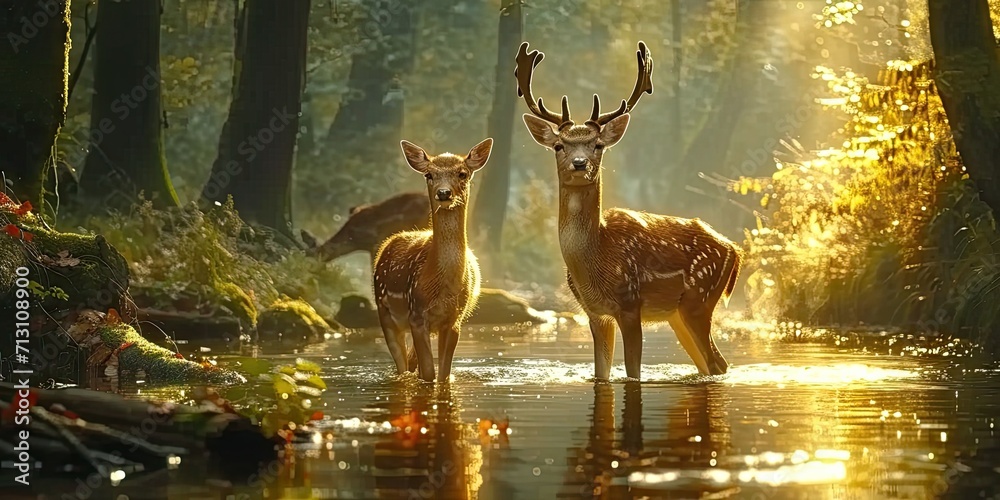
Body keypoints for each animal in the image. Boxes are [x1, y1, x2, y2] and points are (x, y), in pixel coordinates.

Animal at [372, 138, 493, 383]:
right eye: (429, 174)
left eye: (462, 173)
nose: (443, 193)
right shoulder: (417, 313)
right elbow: (428, 374)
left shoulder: (454, 320)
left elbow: (443, 375)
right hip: (384, 310)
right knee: (402, 365)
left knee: (411, 363)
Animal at [515, 41, 743, 380]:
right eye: (559, 145)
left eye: (598, 145)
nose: (579, 164)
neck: (596, 260)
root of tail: (736, 250)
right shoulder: (594, 312)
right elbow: (601, 373)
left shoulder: (630, 302)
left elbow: (633, 372)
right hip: (678, 314)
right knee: (708, 363)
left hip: (699, 298)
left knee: (718, 363)